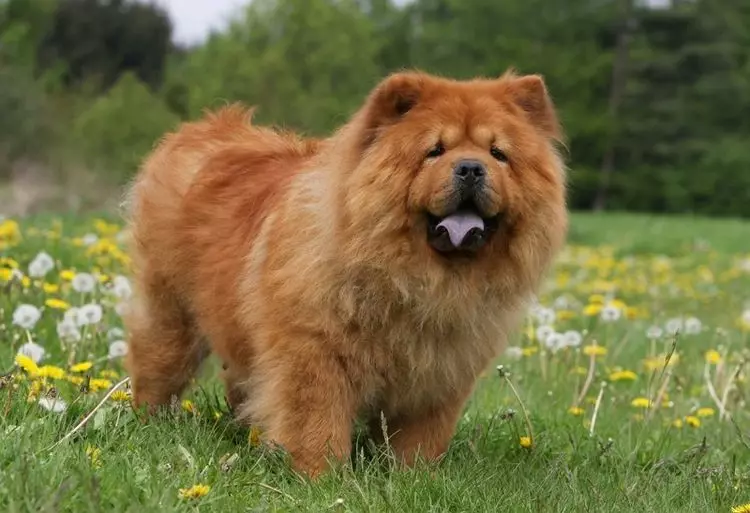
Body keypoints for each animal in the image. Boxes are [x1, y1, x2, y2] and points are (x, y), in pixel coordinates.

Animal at [125, 67, 568, 476]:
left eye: (499, 154)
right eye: (435, 150)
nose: (472, 168)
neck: (418, 281)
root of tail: (204, 129)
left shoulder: (441, 371)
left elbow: (420, 436)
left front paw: (413, 477)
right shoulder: (315, 353)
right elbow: (315, 422)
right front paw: (319, 477)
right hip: (172, 315)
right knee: (156, 365)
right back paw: (151, 421)